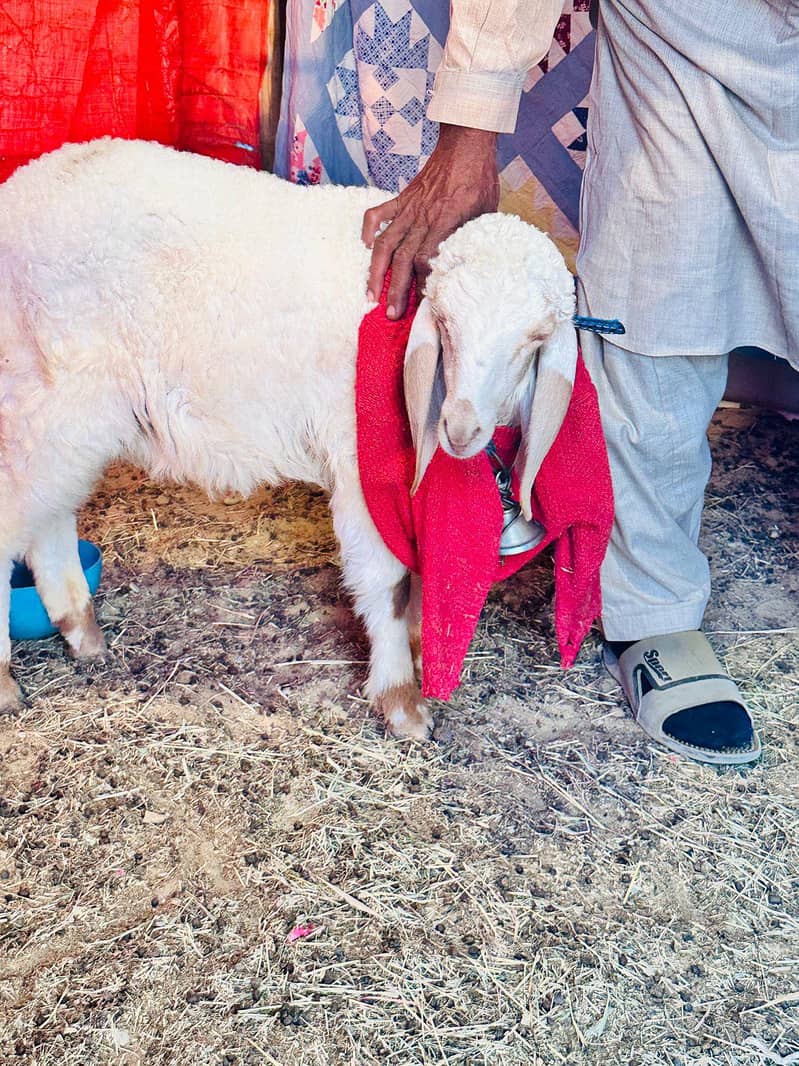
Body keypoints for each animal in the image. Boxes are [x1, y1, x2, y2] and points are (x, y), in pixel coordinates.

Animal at [0, 138, 577, 738]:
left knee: (48, 518)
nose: (460, 428)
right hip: (50, 396)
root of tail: (21, 188)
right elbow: (388, 584)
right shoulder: (359, 467)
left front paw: (419, 654)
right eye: (443, 323)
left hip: (62, 416)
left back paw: (83, 632)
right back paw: (7, 683)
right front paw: (400, 699)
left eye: (535, 339)